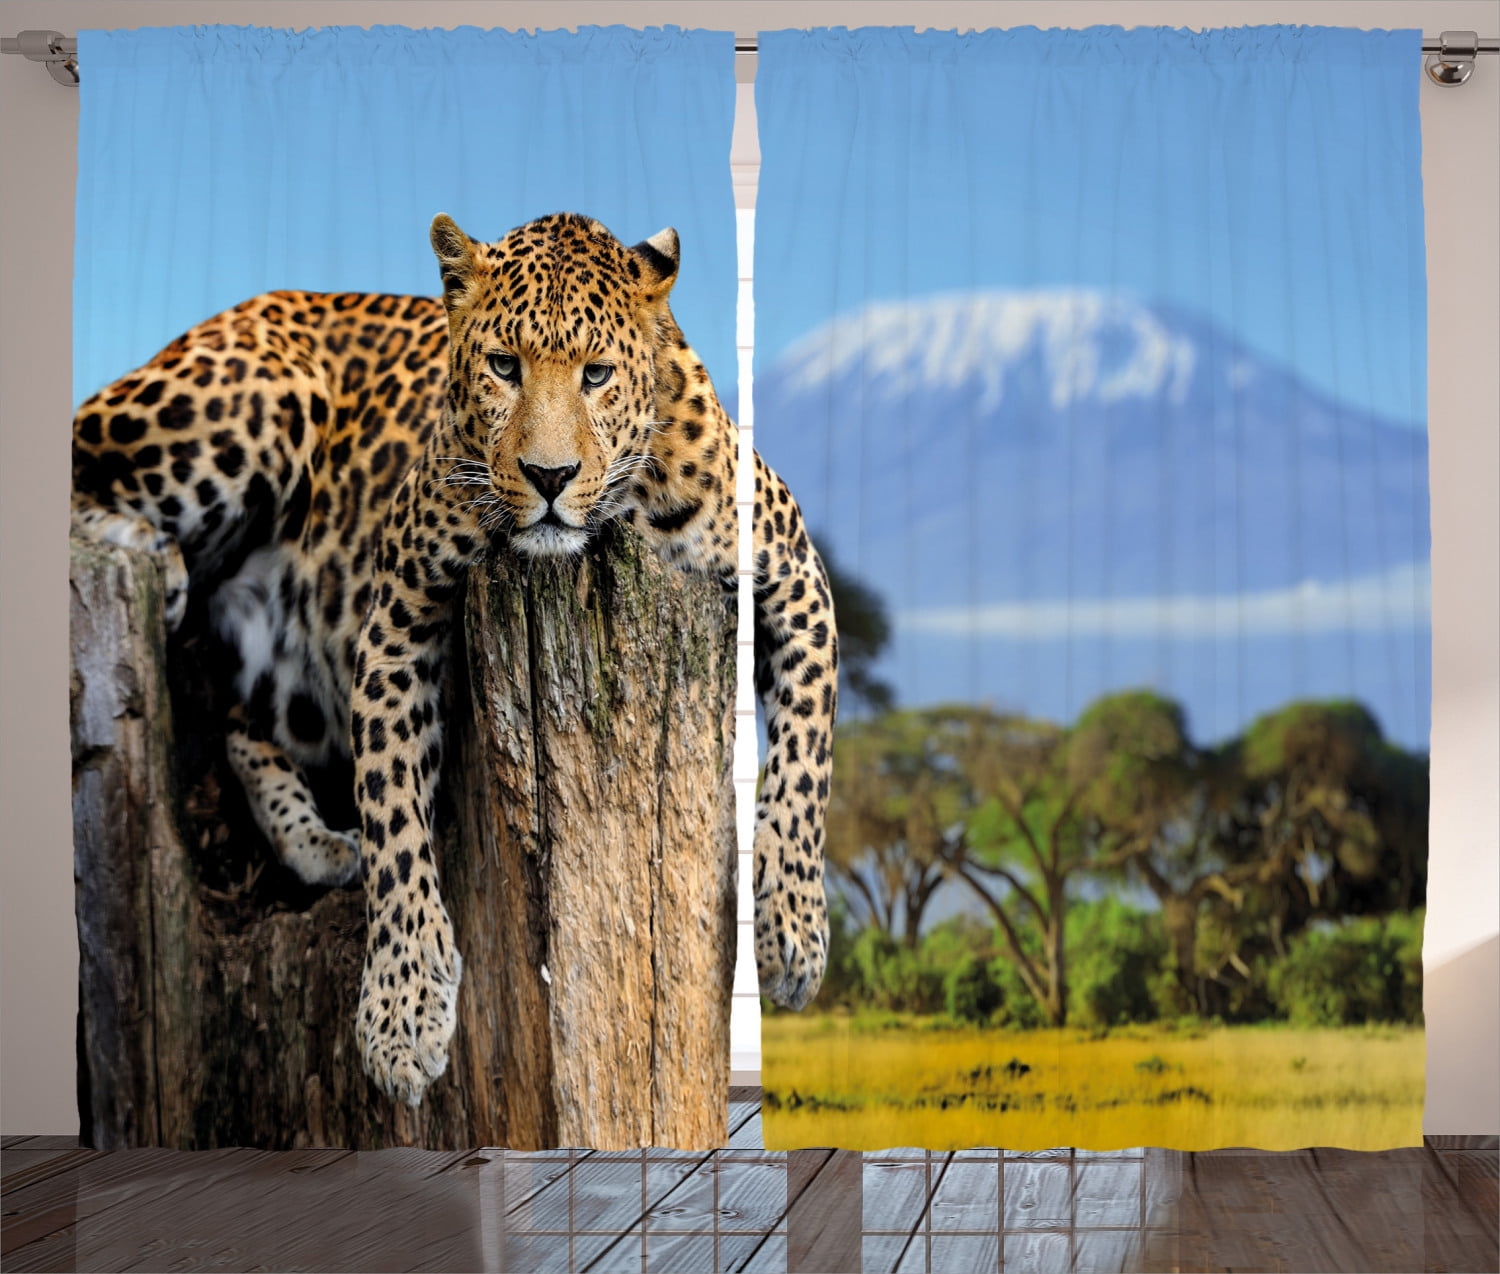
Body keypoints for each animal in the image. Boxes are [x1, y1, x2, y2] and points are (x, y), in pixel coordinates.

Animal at [70, 211, 837, 1107]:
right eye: (504, 366)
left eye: (597, 374)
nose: (549, 476)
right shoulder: (398, 613)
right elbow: (394, 810)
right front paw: (402, 1013)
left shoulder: (794, 571)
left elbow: (806, 762)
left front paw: (791, 930)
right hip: (252, 402)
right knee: (79, 462)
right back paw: (150, 556)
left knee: (237, 719)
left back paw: (317, 842)